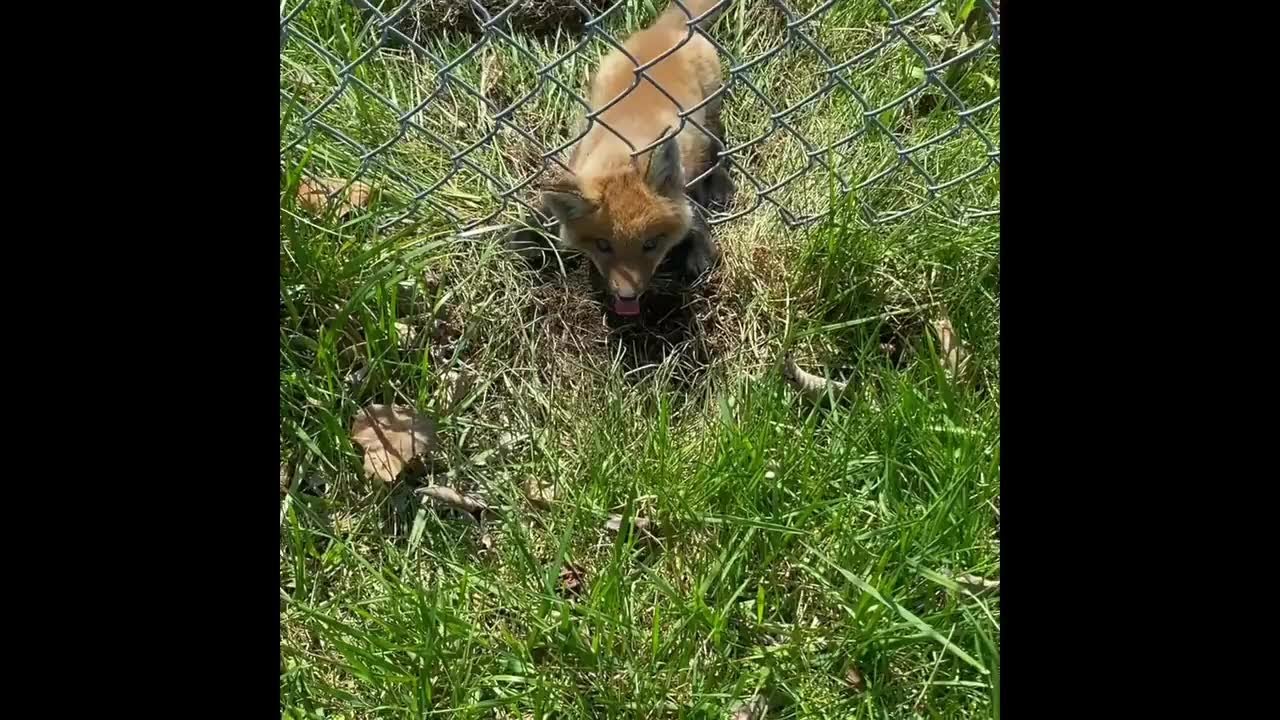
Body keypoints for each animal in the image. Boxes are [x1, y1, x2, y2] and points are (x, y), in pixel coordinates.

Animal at [537, 0, 734, 317]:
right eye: (603, 245)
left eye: (651, 244)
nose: (627, 297)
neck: (621, 151)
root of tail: (661, 30)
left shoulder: (681, 179)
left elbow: (695, 215)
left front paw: (700, 254)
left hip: (709, 110)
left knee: (716, 143)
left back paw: (720, 182)